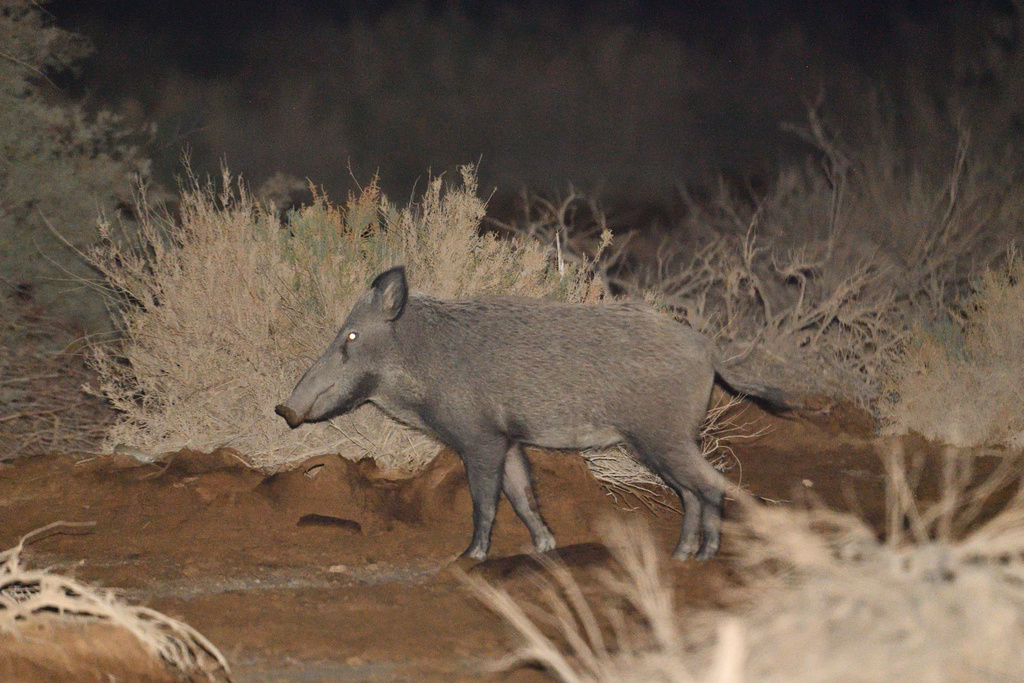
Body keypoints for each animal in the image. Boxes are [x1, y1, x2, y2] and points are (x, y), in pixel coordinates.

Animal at [275, 266, 794, 561]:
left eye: (351, 336)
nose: (284, 408)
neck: (421, 357)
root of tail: (709, 352)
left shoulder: (479, 439)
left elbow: (485, 501)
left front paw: (468, 557)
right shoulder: (507, 441)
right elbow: (522, 495)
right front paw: (544, 548)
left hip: (662, 435)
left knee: (712, 484)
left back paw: (704, 556)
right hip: (657, 442)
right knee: (691, 491)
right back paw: (682, 555)